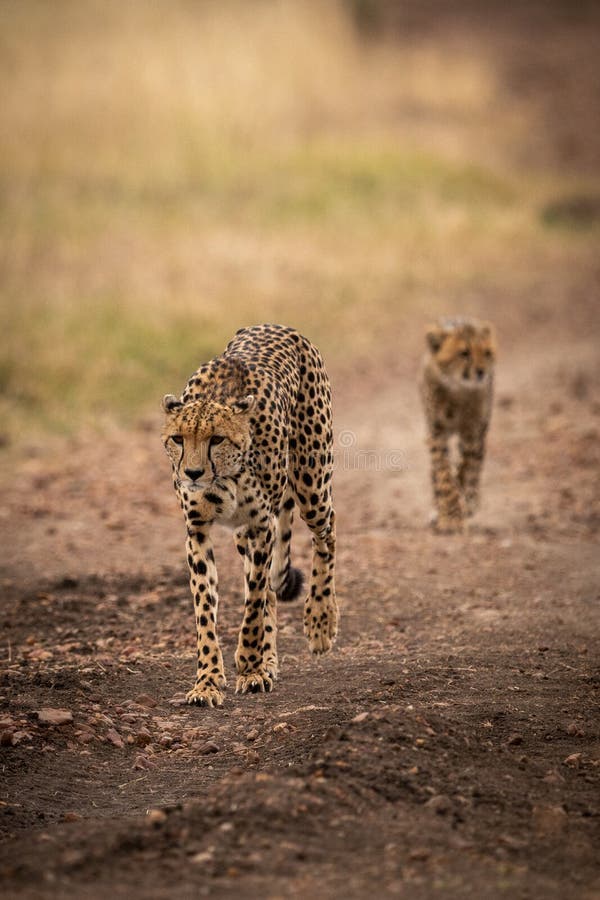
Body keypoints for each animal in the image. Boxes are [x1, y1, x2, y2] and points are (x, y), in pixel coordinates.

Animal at [161, 324, 337, 708]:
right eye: (178, 439)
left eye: (216, 439)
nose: (192, 473)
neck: (224, 476)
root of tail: (278, 325)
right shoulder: (197, 530)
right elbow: (206, 608)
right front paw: (208, 681)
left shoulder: (261, 524)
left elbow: (254, 599)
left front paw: (248, 661)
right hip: (247, 530)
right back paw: (268, 662)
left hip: (312, 485)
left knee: (326, 533)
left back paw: (320, 621)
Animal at [420, 316, 496, 533]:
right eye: (464, 353)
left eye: (487, 353)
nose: (481, 372)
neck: (458, 389)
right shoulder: (437, 432)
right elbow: (444, 474)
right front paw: (450, 516)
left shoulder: (472, 431)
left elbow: (465, 468)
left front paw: (463, 504)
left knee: (475, 464)